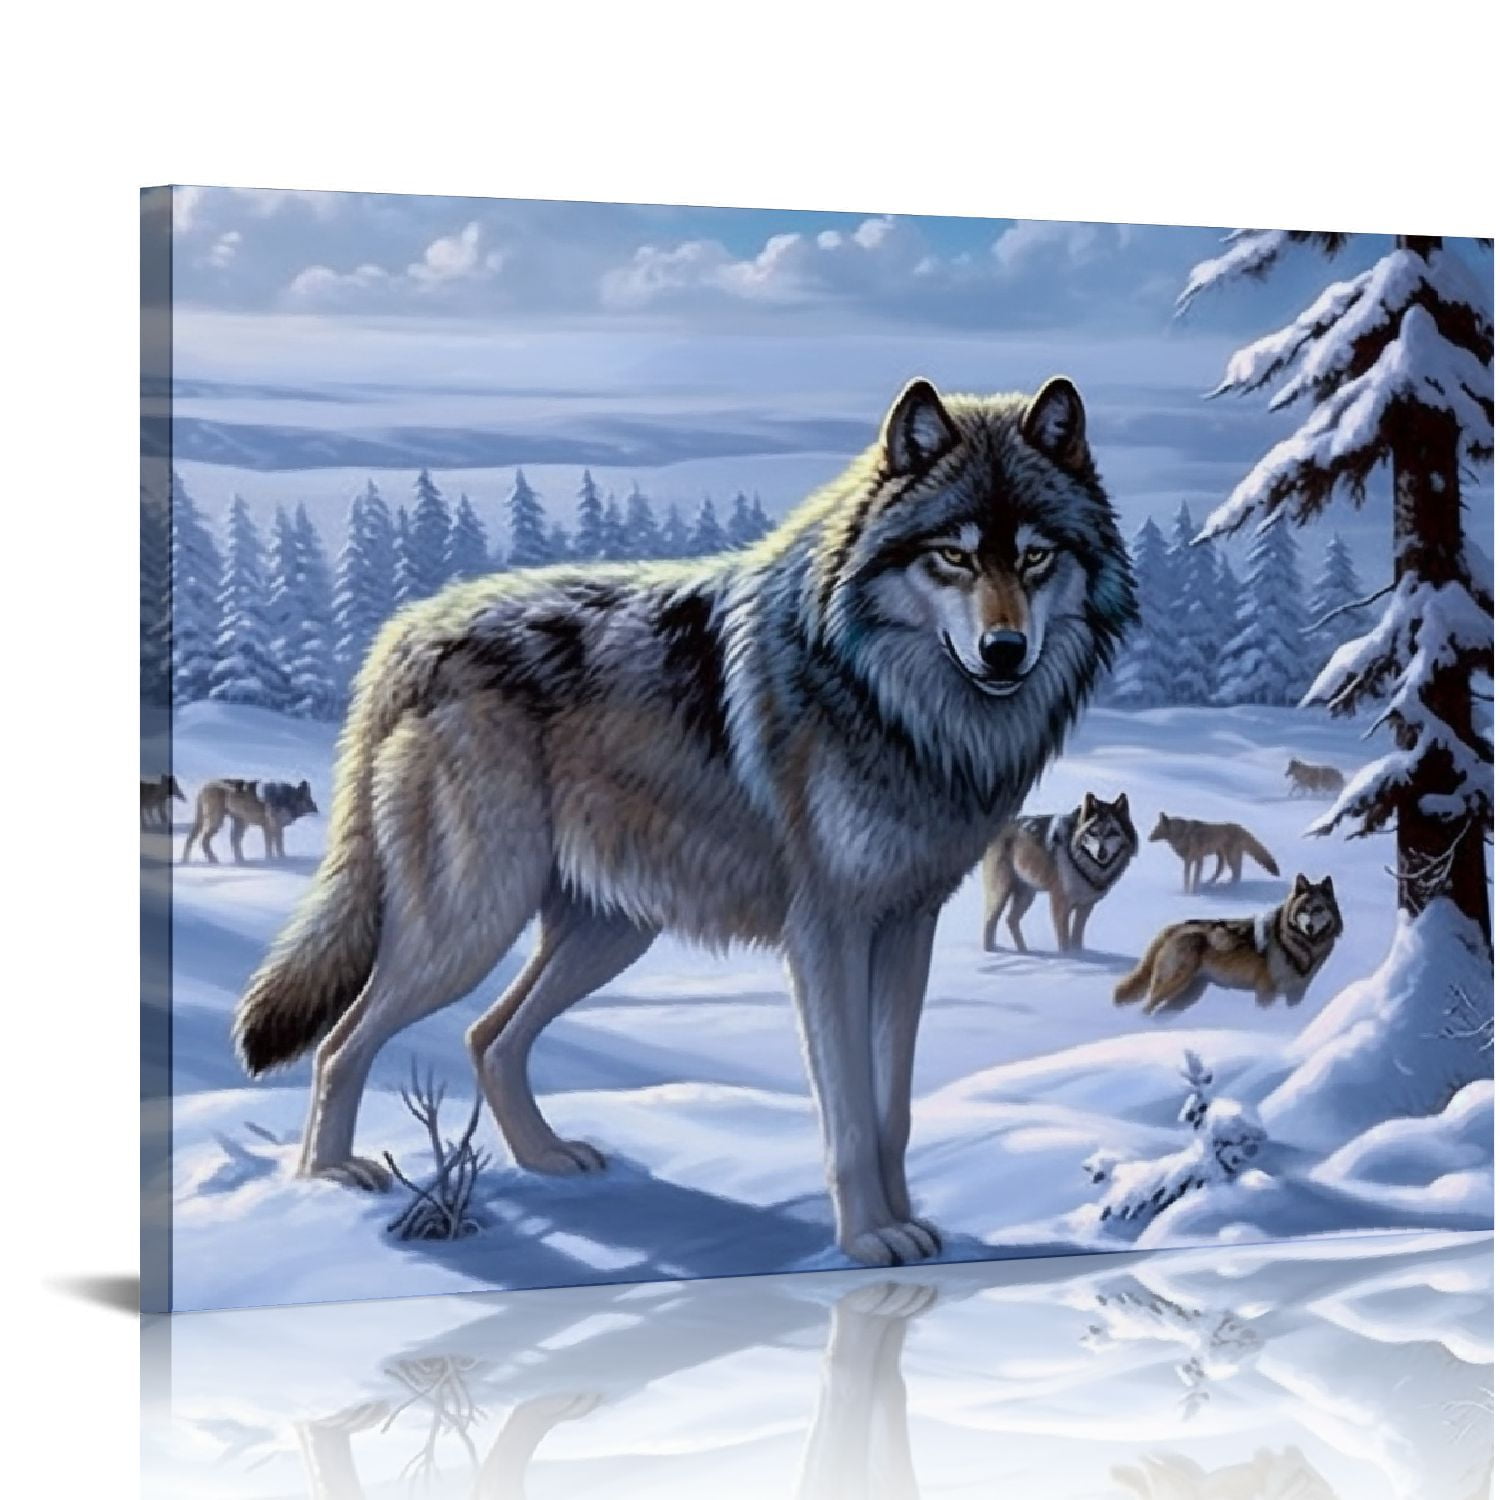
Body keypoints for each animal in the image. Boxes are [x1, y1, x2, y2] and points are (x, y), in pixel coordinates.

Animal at [182, 777, 319, 864]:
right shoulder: (272, 828)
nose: (317, 809)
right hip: (218, 822)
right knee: (204, 840)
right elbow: (276, 848)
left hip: (239, 823)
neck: (287, 799)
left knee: (193, 839)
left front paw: (276, 860)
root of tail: (204, 786)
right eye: (310, 800)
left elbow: (274, 848)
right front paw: (278, 861)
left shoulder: (271, 829)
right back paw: (214, 860)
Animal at [981, 792, 1137, 953]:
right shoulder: (1060, 905)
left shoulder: (1085, 907)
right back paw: (990, 951)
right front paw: (1068, 957)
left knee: (1010, 920)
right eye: (1092, 833)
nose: (1102, 854)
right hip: (1001, 894)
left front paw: (1078, 954)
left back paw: (1024, 951)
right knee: (989, 922)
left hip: (1027, 896)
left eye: (1112, 833)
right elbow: (1064, 942)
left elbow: (1077, 937)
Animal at [1114, 873, 1342, 1015]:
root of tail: (1174, 926)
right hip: (1172, 985)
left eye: (1319, 909)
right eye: (1304, 909)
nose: (1309, 927)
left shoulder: (1296, 996)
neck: (1300, 948)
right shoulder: (1265, 993)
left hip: (1186, 997)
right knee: (1146, 1008)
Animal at [1148, 813, 1279, 893]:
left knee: (1235, 874)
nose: (1148, 838)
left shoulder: (1198, 859)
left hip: (1229, 857)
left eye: (1156, 829)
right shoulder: (1189, 861)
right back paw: (1210, 885)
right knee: (1224, 872)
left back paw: (1227, 888)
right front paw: (1188, 892)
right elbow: (1187, 879)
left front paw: (1192, 893)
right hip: (1222, 857)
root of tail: (1241, 828)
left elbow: (1193, 879)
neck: (1182, 834)